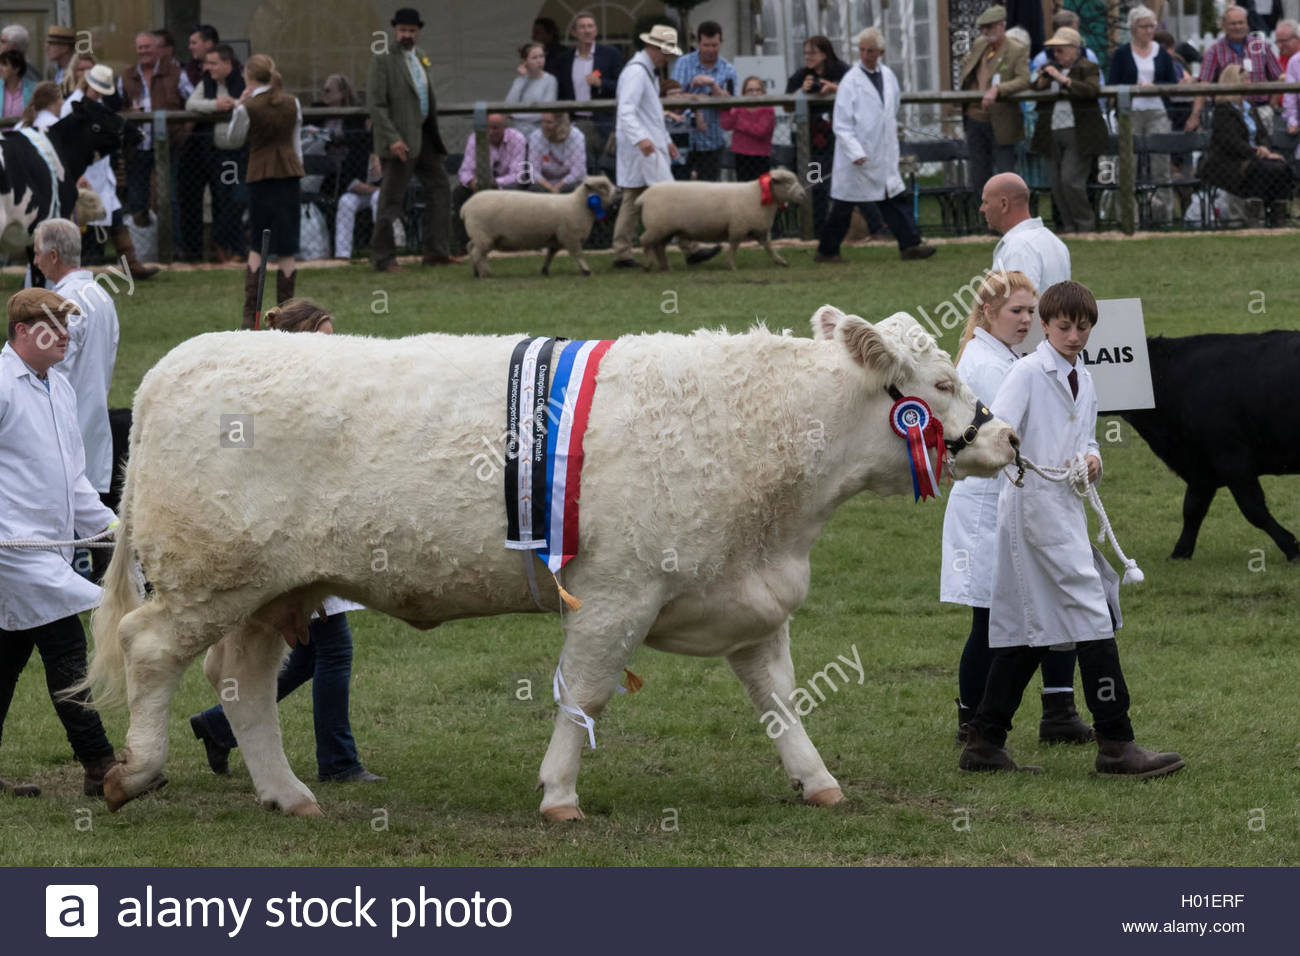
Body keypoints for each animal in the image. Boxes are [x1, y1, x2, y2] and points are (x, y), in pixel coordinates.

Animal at [84, 308, 1017, 819]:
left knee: (240, 682)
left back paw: (288, 794)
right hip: (211, 577)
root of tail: (175, 365)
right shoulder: (617, 594)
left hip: (273, 589)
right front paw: (561, 794)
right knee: (151, 648)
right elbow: (587, 693)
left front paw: (817, 781)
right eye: (938, 384)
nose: (1007, 436)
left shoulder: (746, 596)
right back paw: (136, 774)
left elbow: (781, 701)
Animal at [1121, 331, 1300, 562]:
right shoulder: (1201, 466)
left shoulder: (1231, 456)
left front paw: (1291, 547)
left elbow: (1254, 509)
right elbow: (1192, 509)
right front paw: (1180, 553)